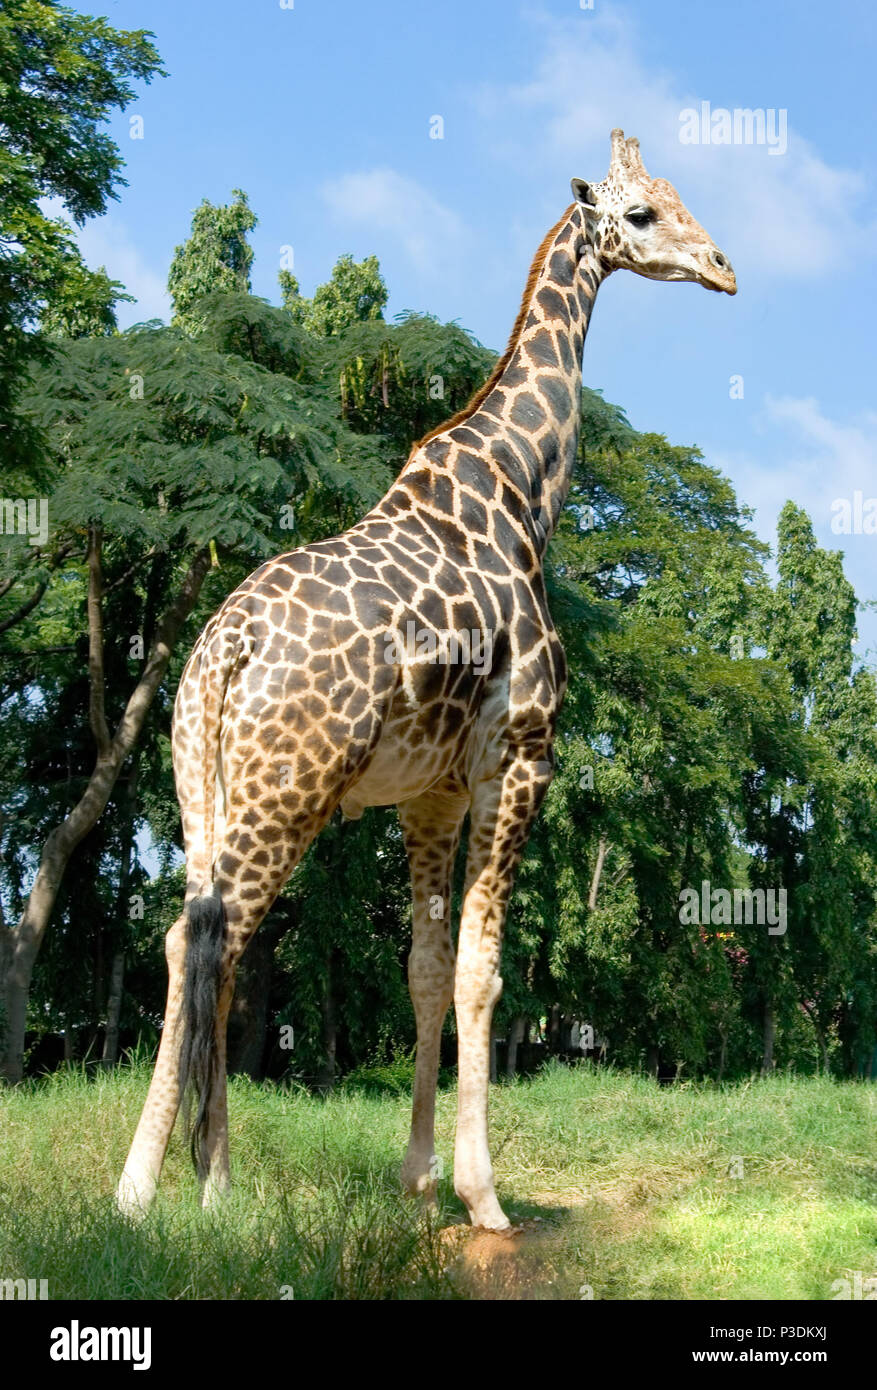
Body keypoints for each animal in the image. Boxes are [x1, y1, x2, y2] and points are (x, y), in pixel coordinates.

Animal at [118, 130, 735, 1231]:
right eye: (640, 216)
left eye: (676, 199)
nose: (723, 268)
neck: (527, 487)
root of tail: (224, 651)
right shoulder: (518, 759)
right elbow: (485, 976)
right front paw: (482, 1195)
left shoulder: (430, 794)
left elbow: (425, 970)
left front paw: (416, 1179)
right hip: (288, 792)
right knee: (199, 939)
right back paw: (140, 1187)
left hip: (205, 786)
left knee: (202, 943)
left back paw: (216, 1180)